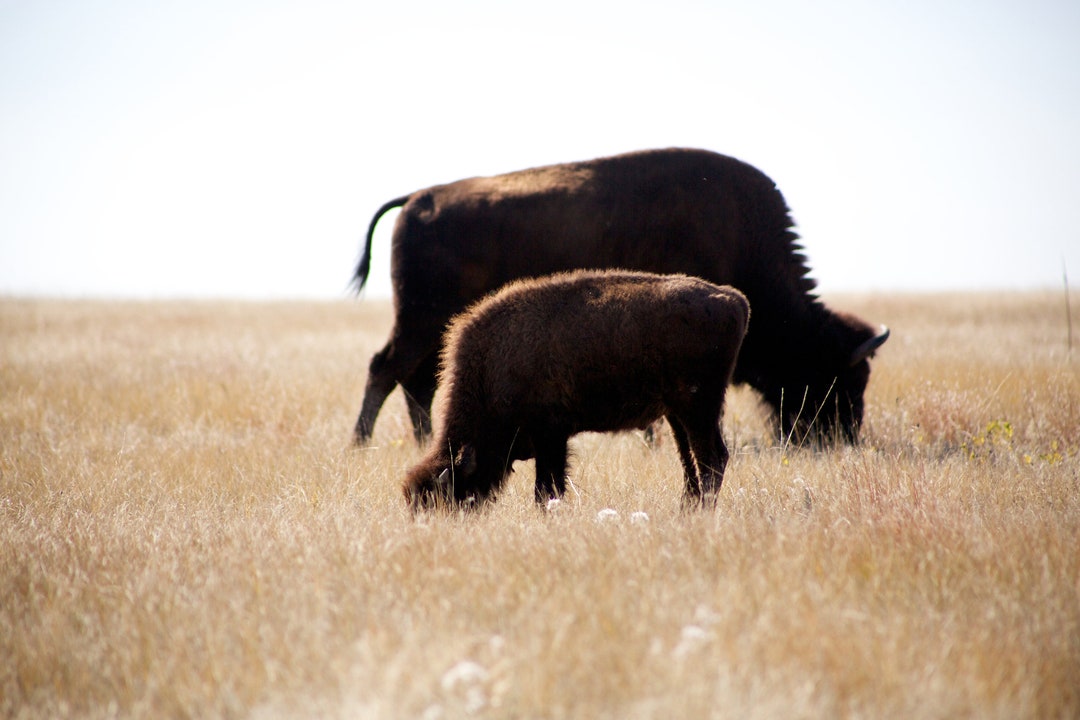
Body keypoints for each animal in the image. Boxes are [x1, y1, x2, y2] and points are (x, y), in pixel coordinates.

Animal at [353, 148, 888, 446]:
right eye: (837, 378)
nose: (842, 439)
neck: (740, 233)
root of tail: (417, 199)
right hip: (419, 320)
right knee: (387, 369)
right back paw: (360, 444)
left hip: (432, 326)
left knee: (415, 381)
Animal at [404, 270, 750, 510]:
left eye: (446, 497)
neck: (491, 366)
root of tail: (732, 299)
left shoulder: (551, 437)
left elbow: (547, 488)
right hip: (678, 413)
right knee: (691, 462)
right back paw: (685, 510)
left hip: (699, 407)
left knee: (712, 458)